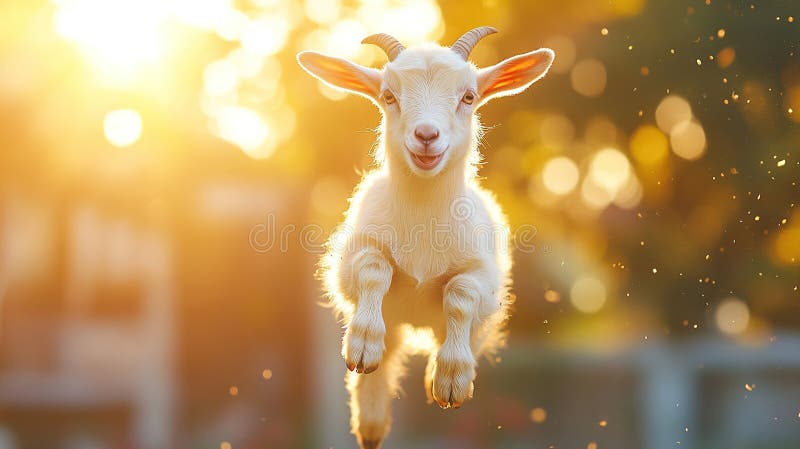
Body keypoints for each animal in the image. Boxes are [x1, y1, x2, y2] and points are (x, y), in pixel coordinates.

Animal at [297, 27, 554, 449]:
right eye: (389, 96)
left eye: (468, 96)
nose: (427, 135)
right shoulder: (351, 260)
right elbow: (373, 269)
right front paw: (362, 345)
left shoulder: (483, 278)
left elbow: (460, 295)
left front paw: (451, 380)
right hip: (393, 325)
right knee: (379, 371)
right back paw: (371, 425)